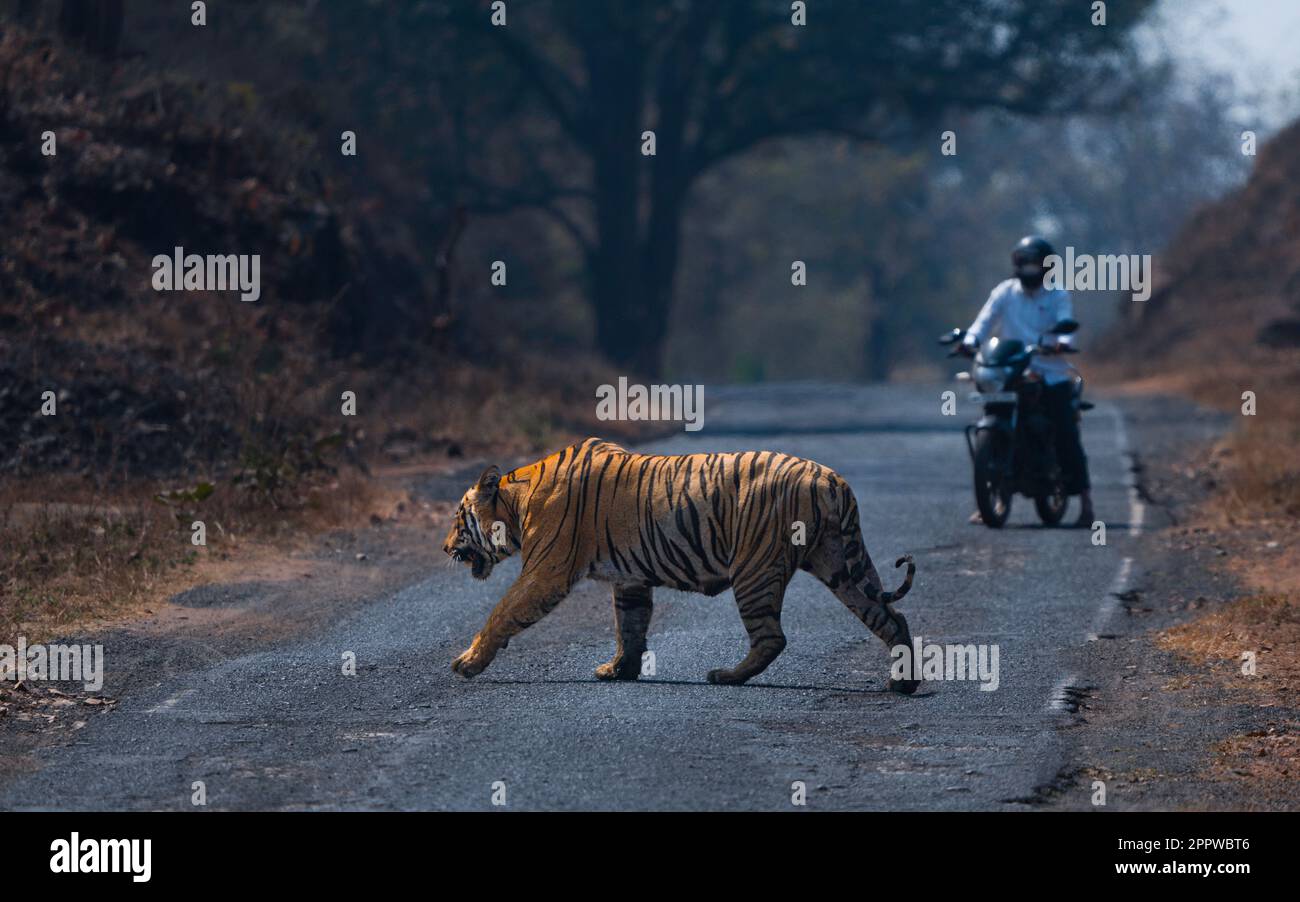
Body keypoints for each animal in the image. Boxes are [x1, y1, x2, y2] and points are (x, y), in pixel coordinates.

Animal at [441, 437, 919, 693]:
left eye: (458, 518)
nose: (445, 548)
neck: (516, 502)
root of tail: (832, 479)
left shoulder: (547, 572)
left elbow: (502, 612)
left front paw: (467, 662)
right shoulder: (629, 579)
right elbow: (630, 627)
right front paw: (619, 670)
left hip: (755, 569)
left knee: (772, 637)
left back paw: (726, 676)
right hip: (839, 564)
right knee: (891, 617)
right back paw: (903, 682)